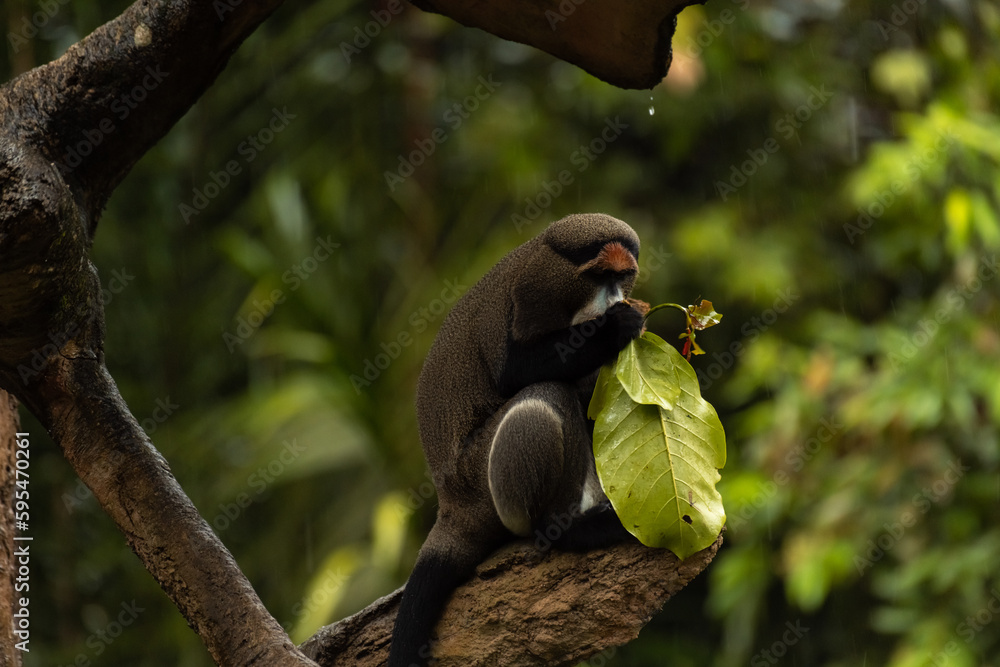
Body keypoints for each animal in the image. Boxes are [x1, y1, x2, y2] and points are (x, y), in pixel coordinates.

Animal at [389, 213, 647, 667]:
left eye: (621, 276)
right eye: (598, 276)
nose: (614, 299)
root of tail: (452, 508)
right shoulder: (527, 296)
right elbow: (516, 371)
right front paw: (617, 327)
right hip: (481, 482)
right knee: (546, 394)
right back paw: (567, 530)